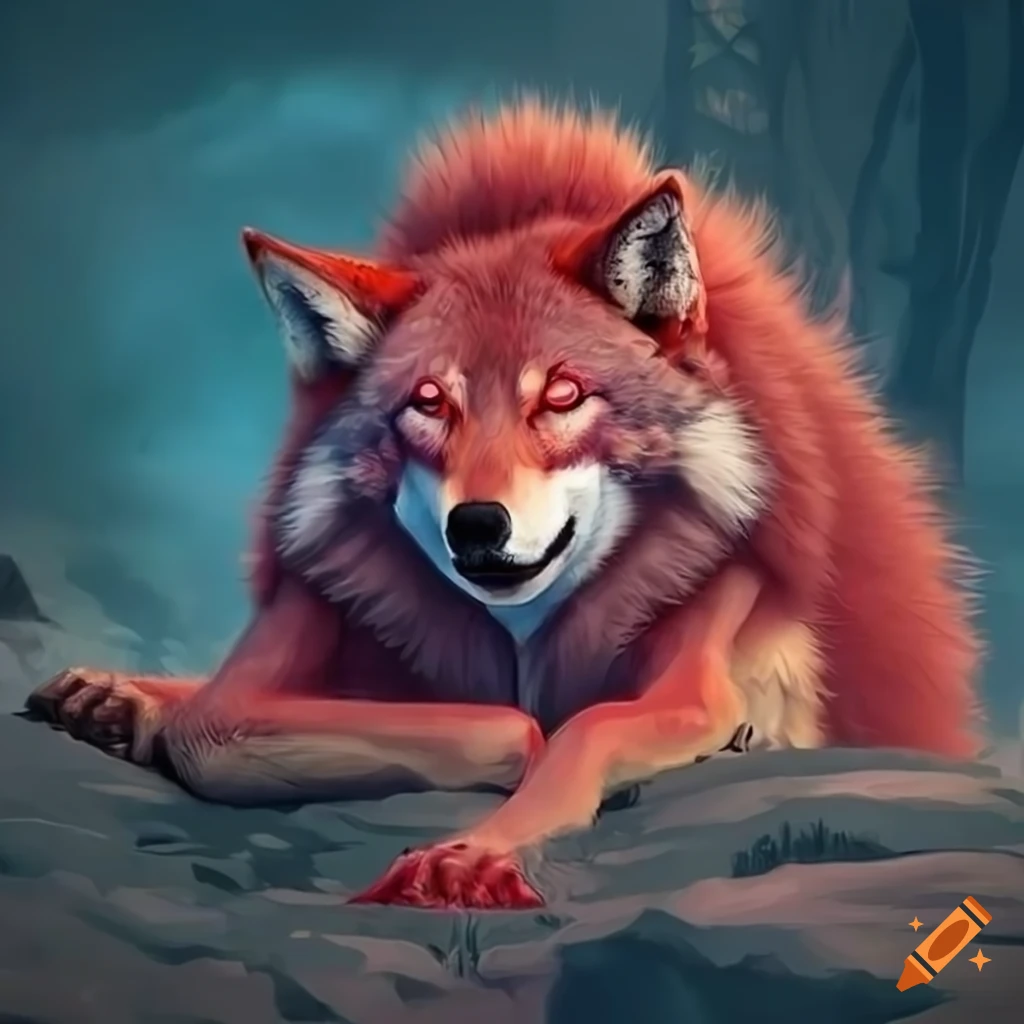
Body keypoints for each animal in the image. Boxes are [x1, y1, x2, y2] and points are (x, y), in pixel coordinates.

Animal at [27, 100, 982, 909]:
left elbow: (575, 733)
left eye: (561, 395)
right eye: (428, 402)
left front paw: (474, 852)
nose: (477, 523)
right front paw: (136, 701)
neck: (526, 641)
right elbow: (214, 720)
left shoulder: (709, 643)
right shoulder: (288, 636)